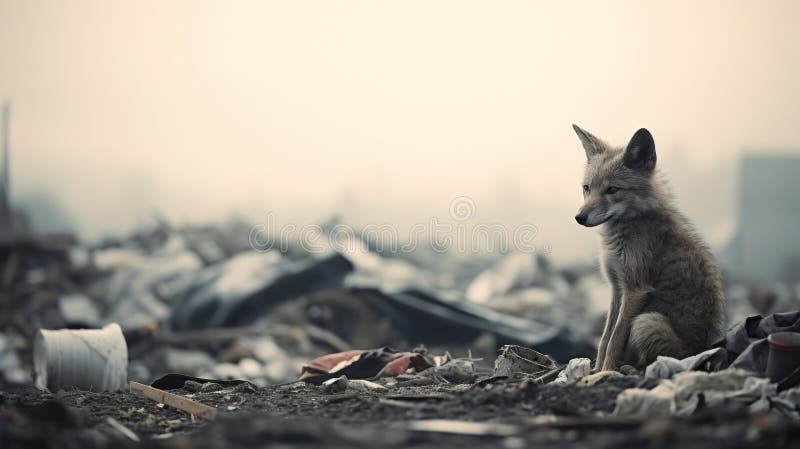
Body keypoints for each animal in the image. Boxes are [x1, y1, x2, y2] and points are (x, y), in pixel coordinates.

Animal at [572, 125, 726, 371]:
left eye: (612, 189)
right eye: (587, 188)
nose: (579, 217)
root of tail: (706, 353)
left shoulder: (635, 290)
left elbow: (615, 339)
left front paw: (606, 371)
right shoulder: (617, 288)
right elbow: (604, 339)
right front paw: (596, 371)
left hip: (646, 321)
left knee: (654, 360)